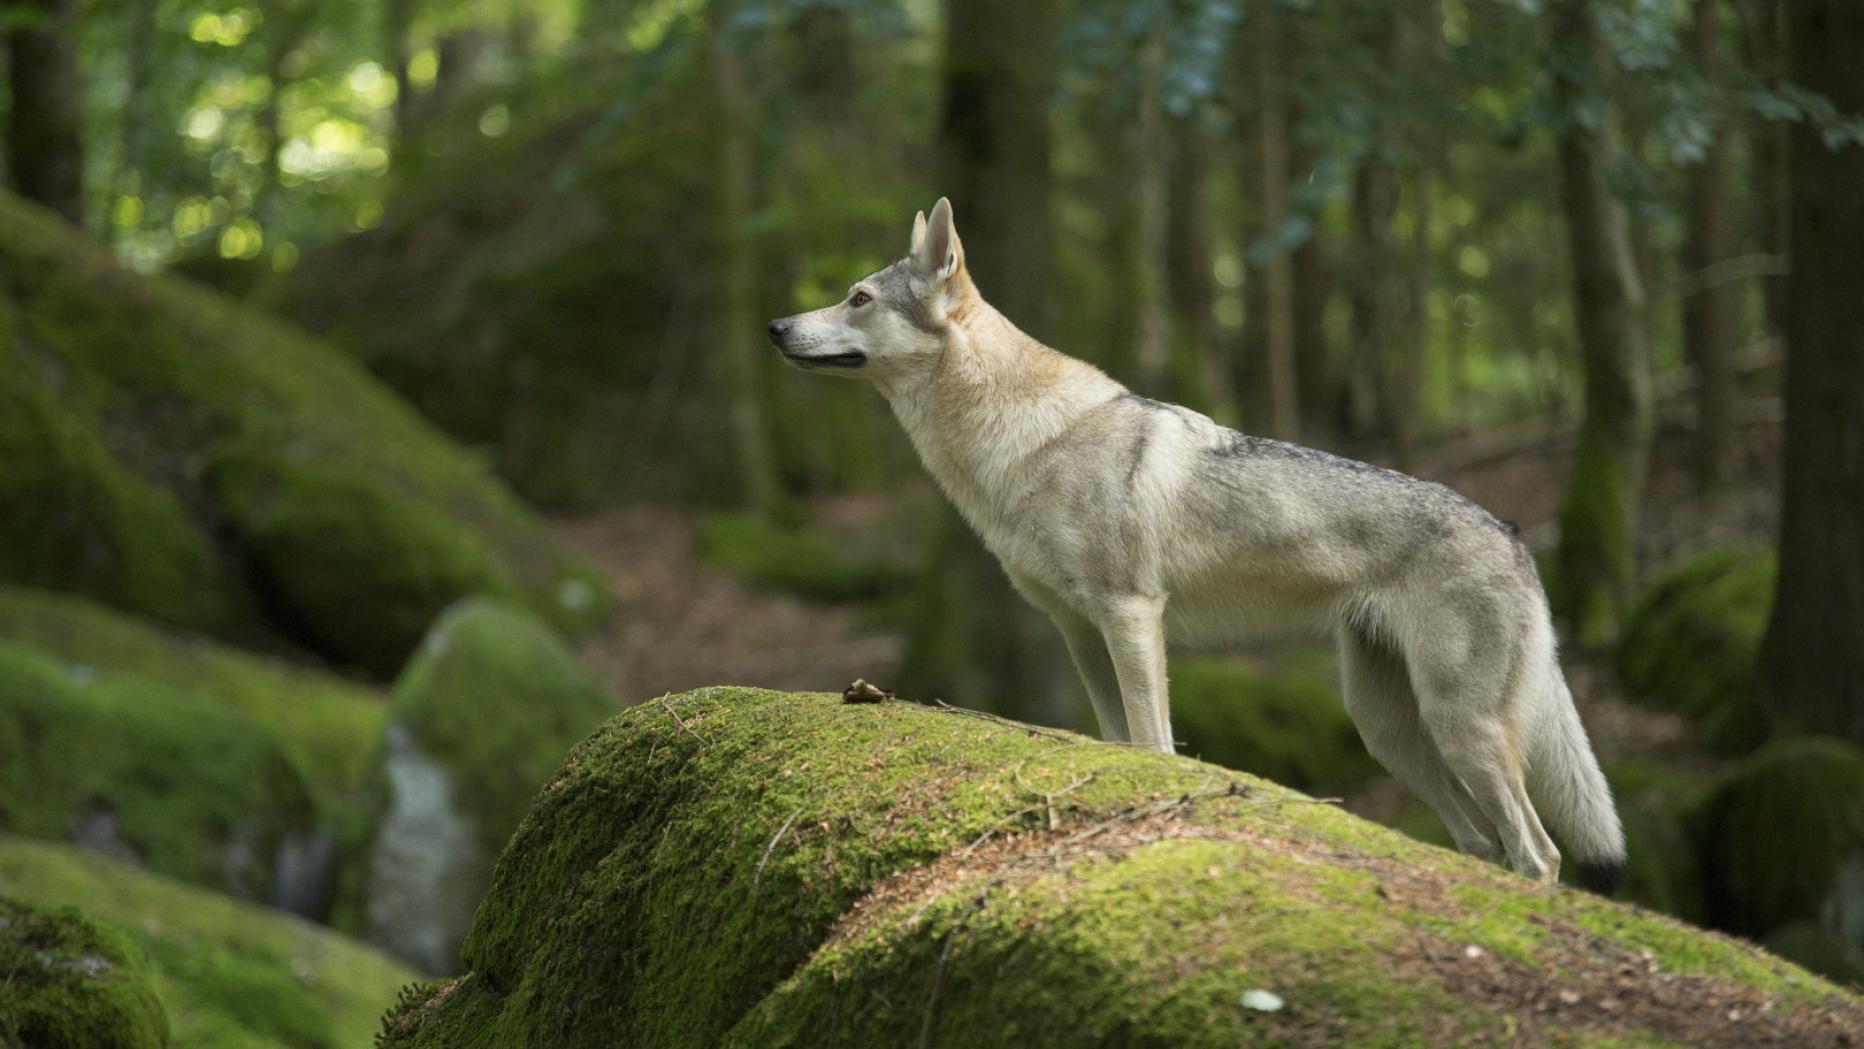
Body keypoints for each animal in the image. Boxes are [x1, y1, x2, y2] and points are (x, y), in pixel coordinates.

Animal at [767, 198, 1626, 891]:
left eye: (857, 297)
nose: (774, 326)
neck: (1019, 442)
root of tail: (1517, 537)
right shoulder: (1080, 633)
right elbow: (1119, 741)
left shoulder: (1130, 614)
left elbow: (1155, 745)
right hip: (1389, 732)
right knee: (1485, 844)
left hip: (1458, 727)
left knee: (1540, 852)